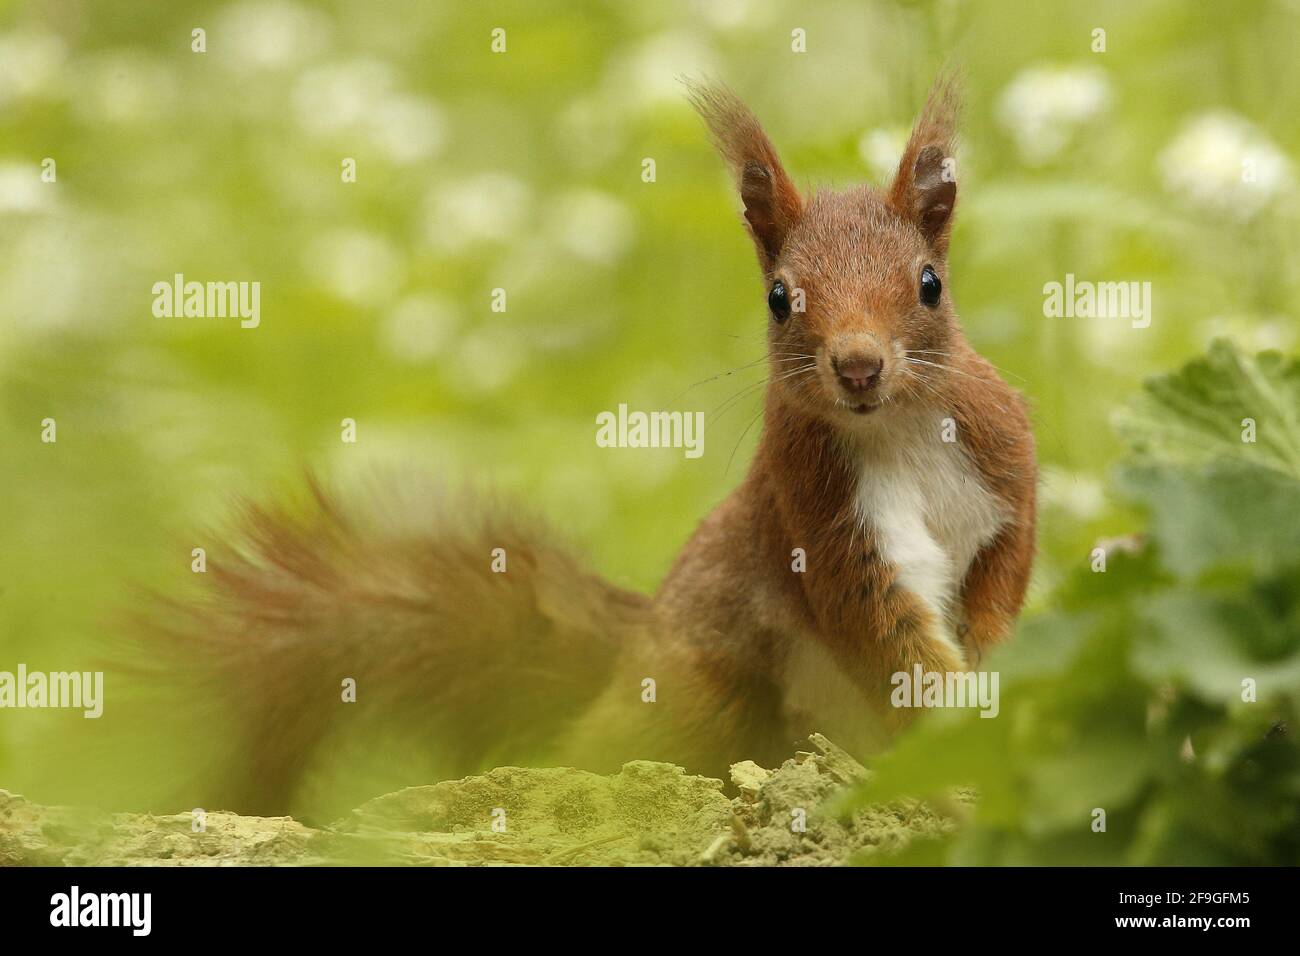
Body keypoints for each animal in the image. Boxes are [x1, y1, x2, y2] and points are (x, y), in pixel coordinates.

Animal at [135, 76, 1037, 819]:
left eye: (930, 284)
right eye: (780, 298)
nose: (857, 365)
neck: (896, 429)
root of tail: (627, 659)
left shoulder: (1003, 471)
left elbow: (1002, 579)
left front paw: (997, 672)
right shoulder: (826, 521)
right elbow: (895, 644)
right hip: (701, 693)